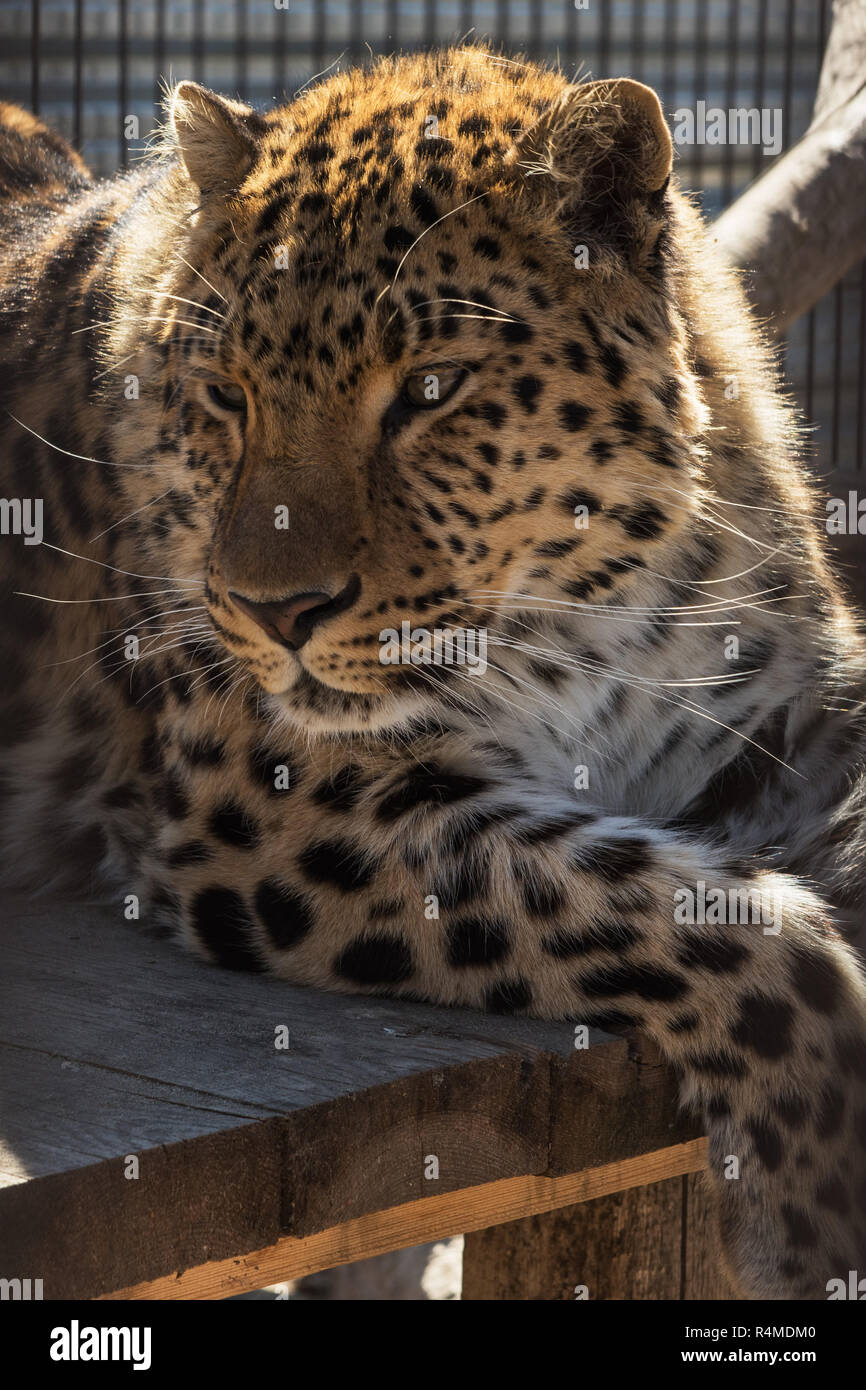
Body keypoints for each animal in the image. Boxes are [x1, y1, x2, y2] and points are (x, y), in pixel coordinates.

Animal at [1, 46, 866, 1302]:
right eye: (226, 394)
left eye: (427, 390)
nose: (272, 611)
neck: (582, 619)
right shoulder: (277, 809)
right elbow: (707, 918)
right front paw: (811, 1208)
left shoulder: (794, 723)